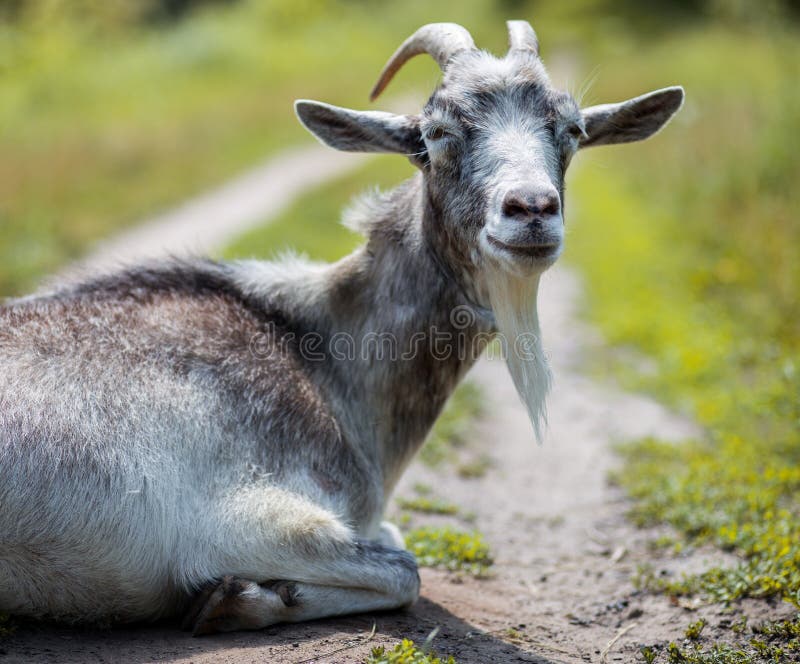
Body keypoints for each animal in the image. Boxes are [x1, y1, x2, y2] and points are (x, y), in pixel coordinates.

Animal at [0, 21, 683, 634]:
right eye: (434, 134)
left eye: (571, 130)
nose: (532, 209)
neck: (324, 361)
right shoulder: (244, 519)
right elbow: (407, 572)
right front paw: (236, 599)